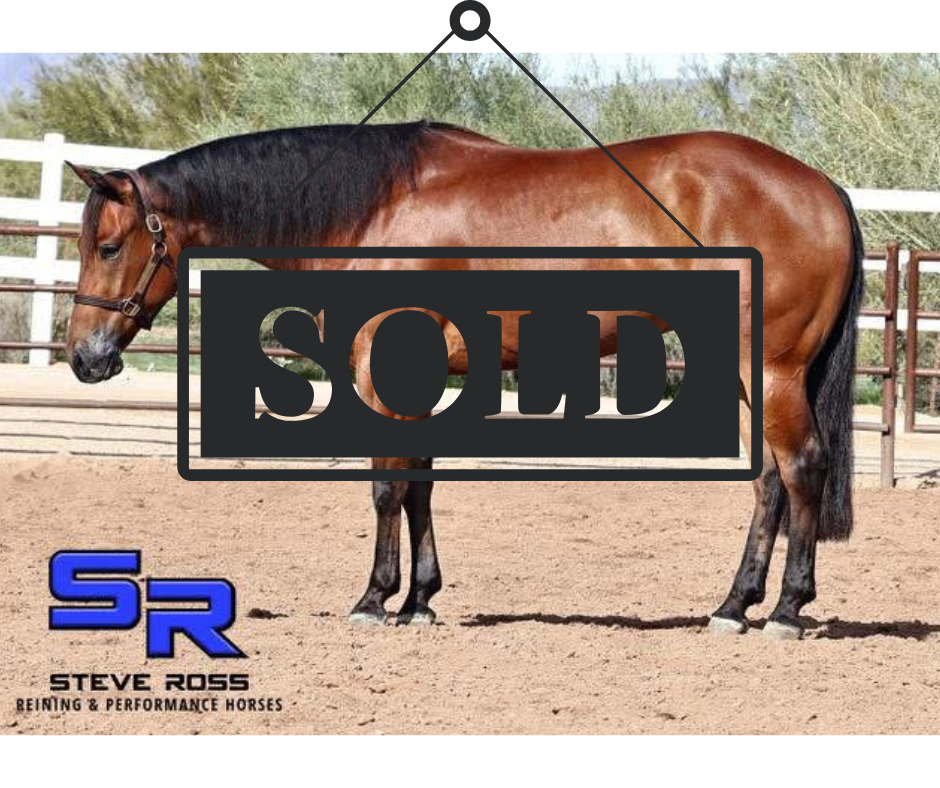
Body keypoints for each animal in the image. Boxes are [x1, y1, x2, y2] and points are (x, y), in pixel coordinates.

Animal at [65, 120, 863, 640]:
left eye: (108, 246)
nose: (84, 358)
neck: (375, 210)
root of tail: (823, 187)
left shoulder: (380, 371)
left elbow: (386, 486)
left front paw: (374, 599)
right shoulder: (414, 378)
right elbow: (419, 483)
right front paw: (419, 599)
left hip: (770, 368)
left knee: (802, 467)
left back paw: (786, 611)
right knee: (768, 481)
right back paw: (733, 606)